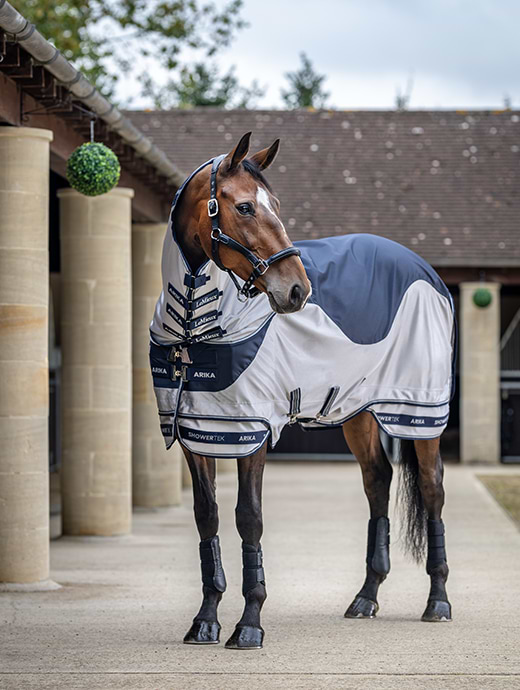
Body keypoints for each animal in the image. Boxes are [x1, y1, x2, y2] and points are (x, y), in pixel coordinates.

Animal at [149, 132, 455, 649]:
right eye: (245, 207)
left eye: (276, 205)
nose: (297, 291)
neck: (194, 321)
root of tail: (428, 273)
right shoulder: (196, 432)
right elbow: (207, 517)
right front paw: (205, 621)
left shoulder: (251, 431)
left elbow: (249, 518)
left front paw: (249, 625)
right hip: (358, 414)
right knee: (377, 483)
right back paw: (366, 598)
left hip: (417, 414)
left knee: (432, 491)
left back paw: (437, 602)